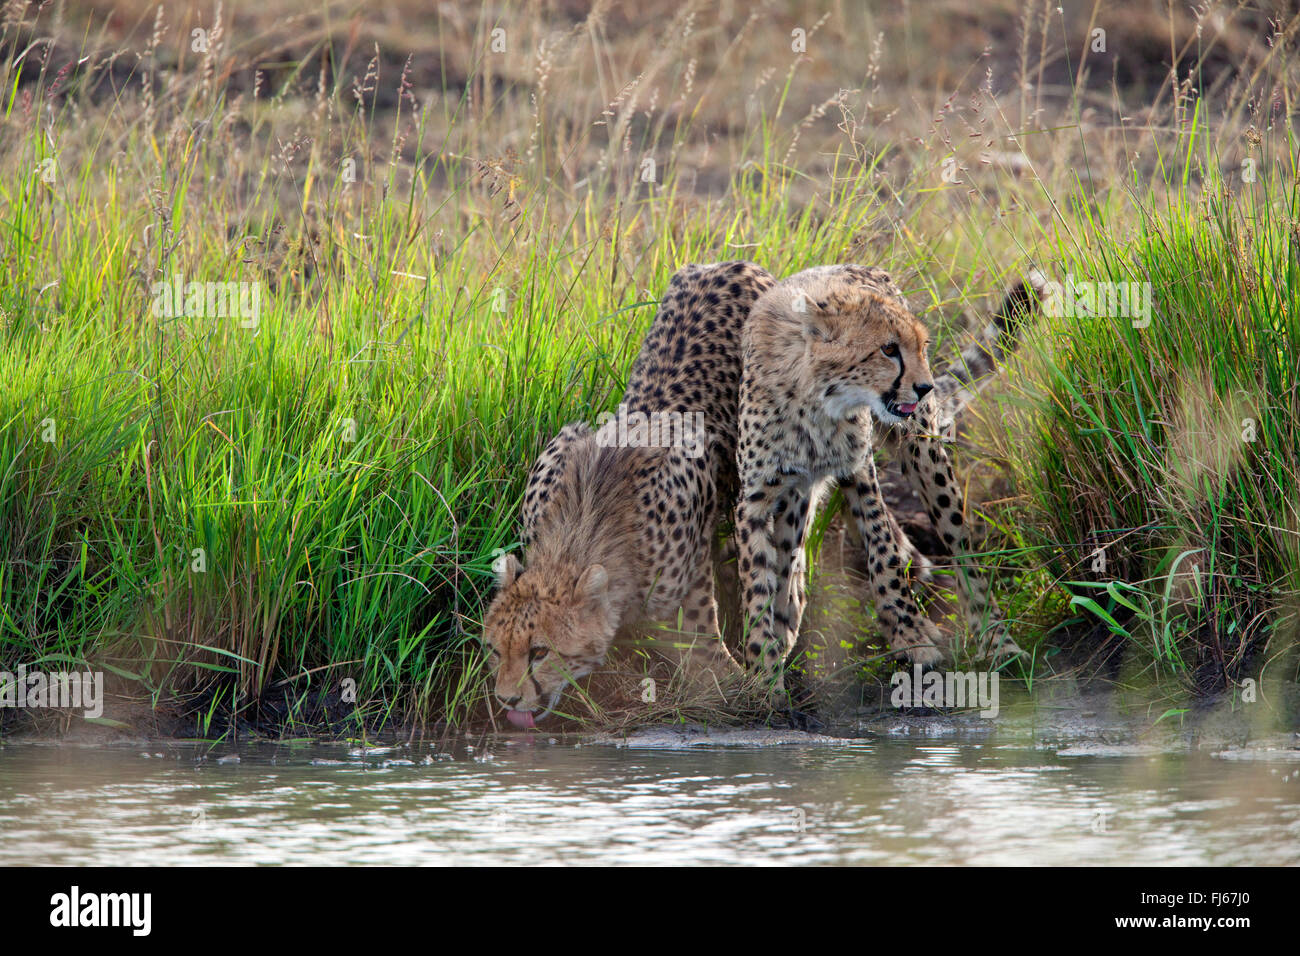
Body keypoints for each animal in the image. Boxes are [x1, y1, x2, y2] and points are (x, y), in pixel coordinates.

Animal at [481, 261, 776, 726]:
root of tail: (733, 263)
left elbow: (698, 627)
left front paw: (727, 679)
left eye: (539, 652)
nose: (507, 700)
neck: (586, 524)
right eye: (495, 651)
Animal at [734, 264, 1035, 694]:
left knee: (962, 547)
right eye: (888, 349)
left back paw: (997, 640)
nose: (924, 387)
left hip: (925, 456)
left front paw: (910, 637)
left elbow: (884, 552)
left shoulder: (859, 470)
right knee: (792, 547)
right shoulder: (755, 497)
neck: (813, 397)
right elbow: (758, 578)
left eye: (920, 347)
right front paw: (763, 671)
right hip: (800, 490)